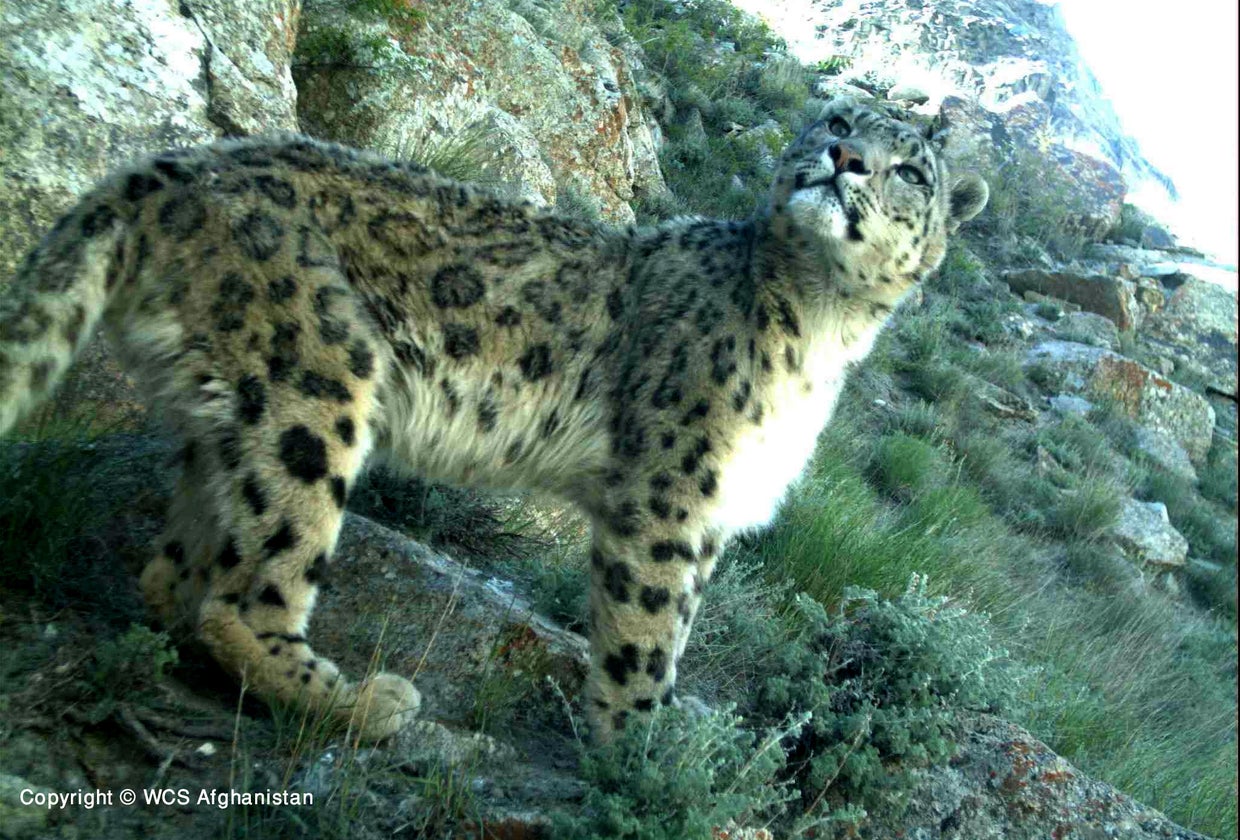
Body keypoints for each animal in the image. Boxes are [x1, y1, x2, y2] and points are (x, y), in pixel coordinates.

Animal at [0, 99, 987, 741]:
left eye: (910, 168)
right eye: (836, 123)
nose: (845, 161)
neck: (824, 330)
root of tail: (175, 162)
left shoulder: (714, 510)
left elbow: (682, 628)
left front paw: (675, 732)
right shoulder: (667, 496)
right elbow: (646, 634)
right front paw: (644, 753)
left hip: (229, 408)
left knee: (173, 570)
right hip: (318, 384)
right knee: (242, 592)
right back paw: (361, 703)